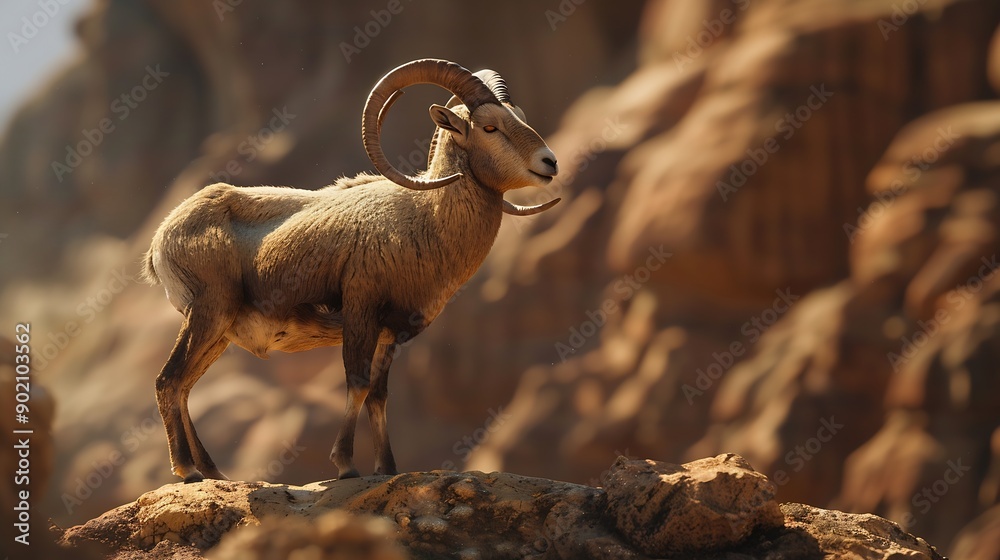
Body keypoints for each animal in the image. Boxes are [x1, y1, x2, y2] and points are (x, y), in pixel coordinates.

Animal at [142, 59, 560, 482]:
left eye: (520, 118)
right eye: (490, 127)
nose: (550, 162)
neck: (422, 219)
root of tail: (162, 239)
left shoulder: (389, 335)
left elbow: (378, 395)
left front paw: (387, 468)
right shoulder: (361, 311)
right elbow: (357, 386)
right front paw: (346, 466)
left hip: (218, 333)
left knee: (185, 386)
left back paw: (213, 472)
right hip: (208, 315)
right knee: (169, 381)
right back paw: (187, 470)